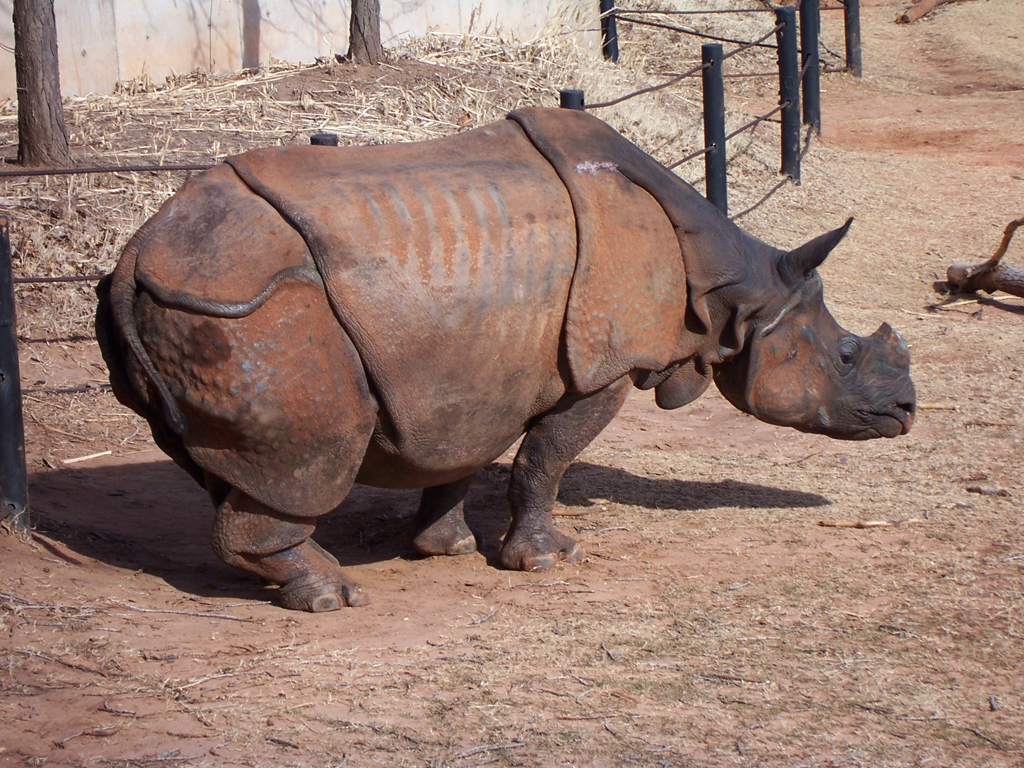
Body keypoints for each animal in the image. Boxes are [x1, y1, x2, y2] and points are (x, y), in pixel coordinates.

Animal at [96, 107, 915, 612]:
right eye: (846, 356)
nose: (908, 413)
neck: (734, 293)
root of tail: (134, 256)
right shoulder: (601, 366)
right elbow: (546, 457)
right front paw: (549, 561)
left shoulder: (470, 363)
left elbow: (460, 450)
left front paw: (445, 548)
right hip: (251, 307)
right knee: (313, 449)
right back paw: (334, 596)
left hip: (200, 305)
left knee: (242, 464)